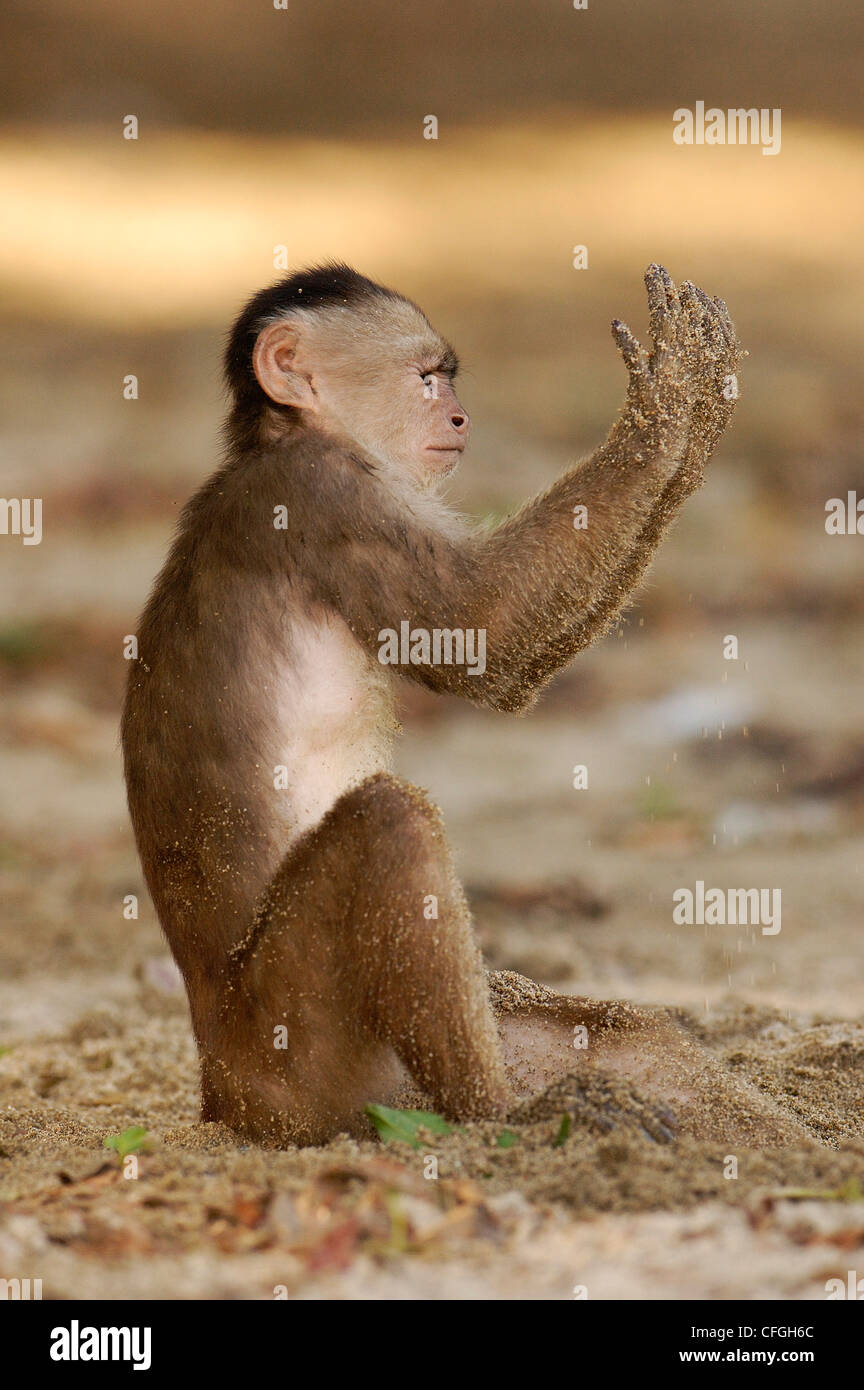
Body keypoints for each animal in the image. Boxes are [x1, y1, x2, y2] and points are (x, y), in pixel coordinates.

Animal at [122, 261, 800, 1150]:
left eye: (449, 380)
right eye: (425, 377)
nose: (458, 415)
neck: (282, 440)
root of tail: (219, 1088)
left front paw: (692, 416)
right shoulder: (324, 490)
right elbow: (485, 635)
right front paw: (671, 409)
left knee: (635, 1038)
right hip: (292, 1059)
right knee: (392, 820)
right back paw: (506, 1121)